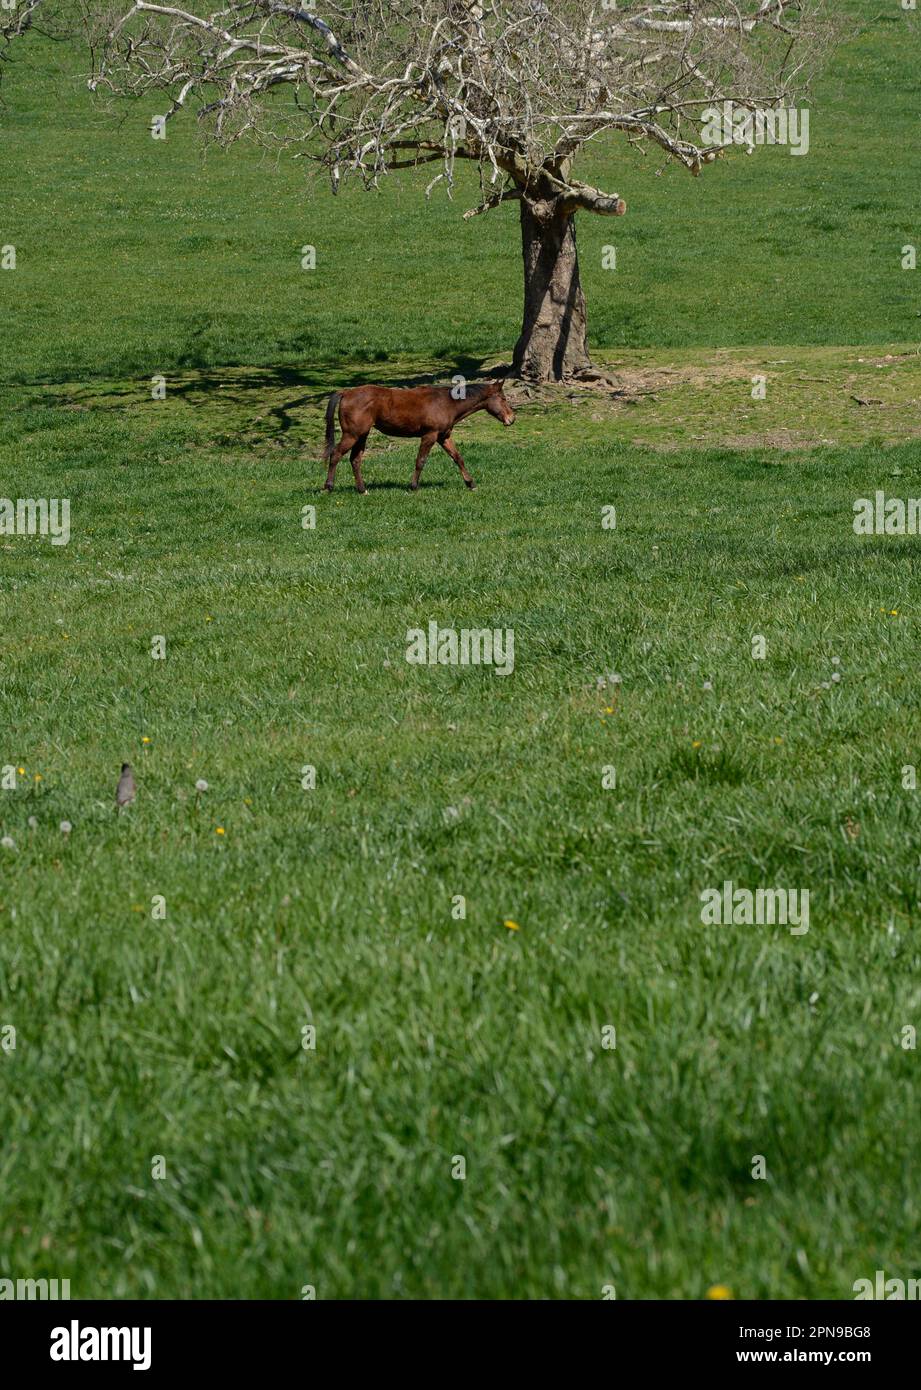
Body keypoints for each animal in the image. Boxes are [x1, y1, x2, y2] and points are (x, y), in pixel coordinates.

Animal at [321, 380, 516, 493]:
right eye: (503, 398)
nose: (512, 419)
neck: (447, 402)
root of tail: (346, 392)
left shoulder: (443, 436)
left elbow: (458, 458)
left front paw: (471, 483)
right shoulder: (430, 435)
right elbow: (420, 461)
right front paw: (413, 486)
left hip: (362, 435)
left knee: (355, 459)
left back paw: (362, 489)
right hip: (352, 434)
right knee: (336, 454)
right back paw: (328, 487)